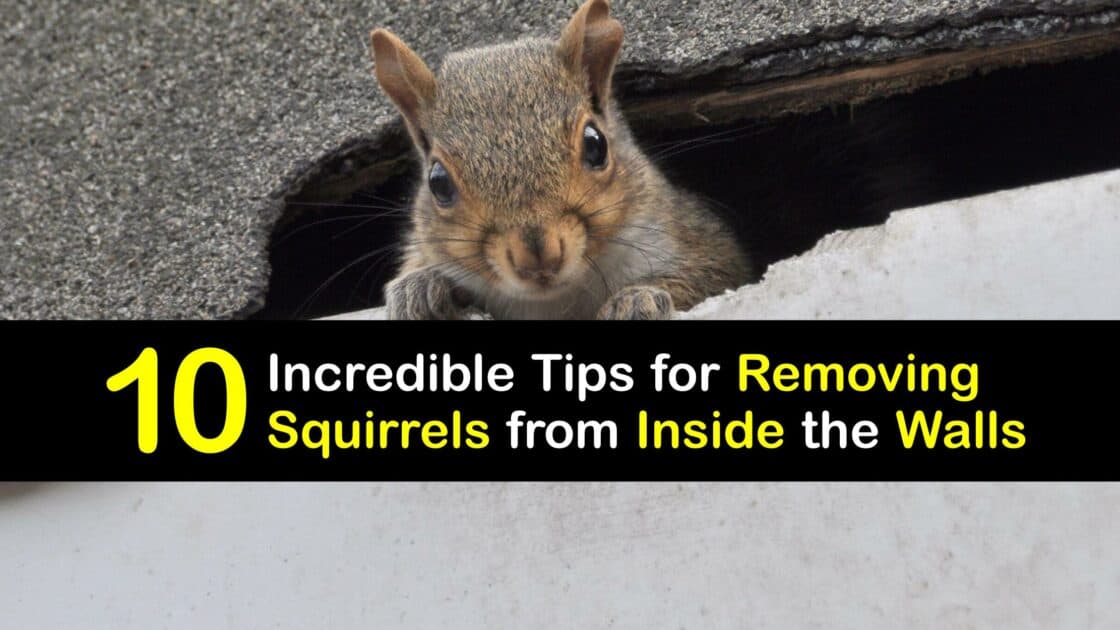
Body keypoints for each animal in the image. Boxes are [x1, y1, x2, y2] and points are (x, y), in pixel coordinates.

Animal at [369, 0, 749, 320]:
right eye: (438, 183)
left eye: (596, 145)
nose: (539, 256)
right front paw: (417, 288)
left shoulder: (693, 237)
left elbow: (709, 275)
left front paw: (636, 299)